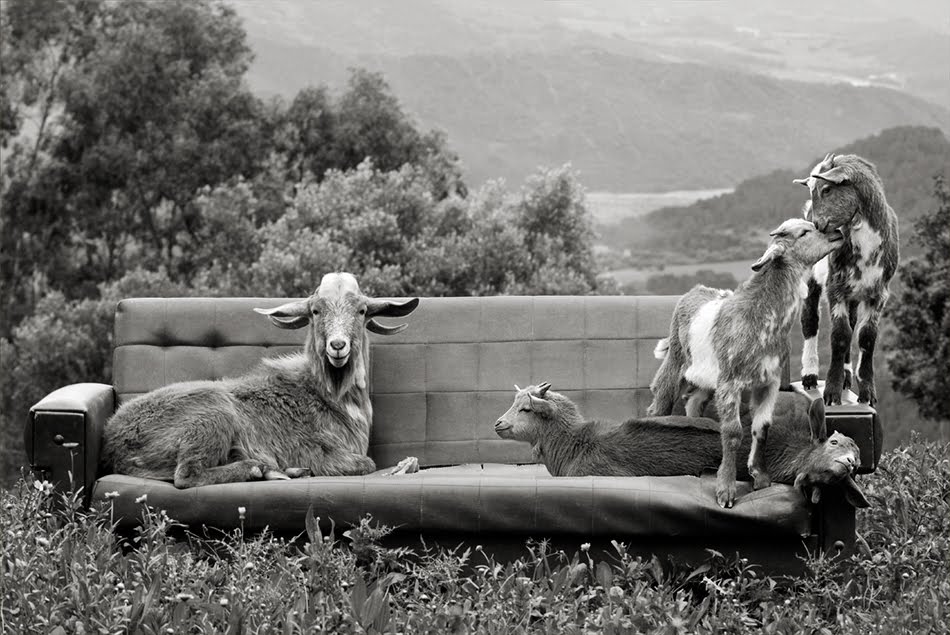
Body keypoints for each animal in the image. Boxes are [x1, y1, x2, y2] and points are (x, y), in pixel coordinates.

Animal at [101, 272, 420, 488]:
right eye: (316, 310)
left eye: (361, 310)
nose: (338, 346)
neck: (329, 397)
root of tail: (114, 444)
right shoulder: (318, 451)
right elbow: (366, 463)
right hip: (212, 413)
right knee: (186, 475)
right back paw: (260, 469)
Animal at [646, 218, 844, 508]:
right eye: (804, 232)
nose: (838, 232)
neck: (761, 318)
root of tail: (693, 291)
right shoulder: (731, 381)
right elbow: (733, 432)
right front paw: (726, 490)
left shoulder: (769, 382)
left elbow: (761, 428)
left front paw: (760, 477)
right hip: (676, 363)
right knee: (659, 403)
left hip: (707, 381)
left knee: (693, 403)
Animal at [794, 153, 899, 406]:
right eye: (812, 191)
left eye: (827, 189)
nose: (817, 225)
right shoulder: (836, 288)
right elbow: (840, 336)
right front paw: (831, 392)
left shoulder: (878, 294)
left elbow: (866, 337)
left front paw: (867, 392)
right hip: (812, 278)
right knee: (810, 320)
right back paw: (810, 375)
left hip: (855, 293)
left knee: (852, 323)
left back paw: (847, 375)